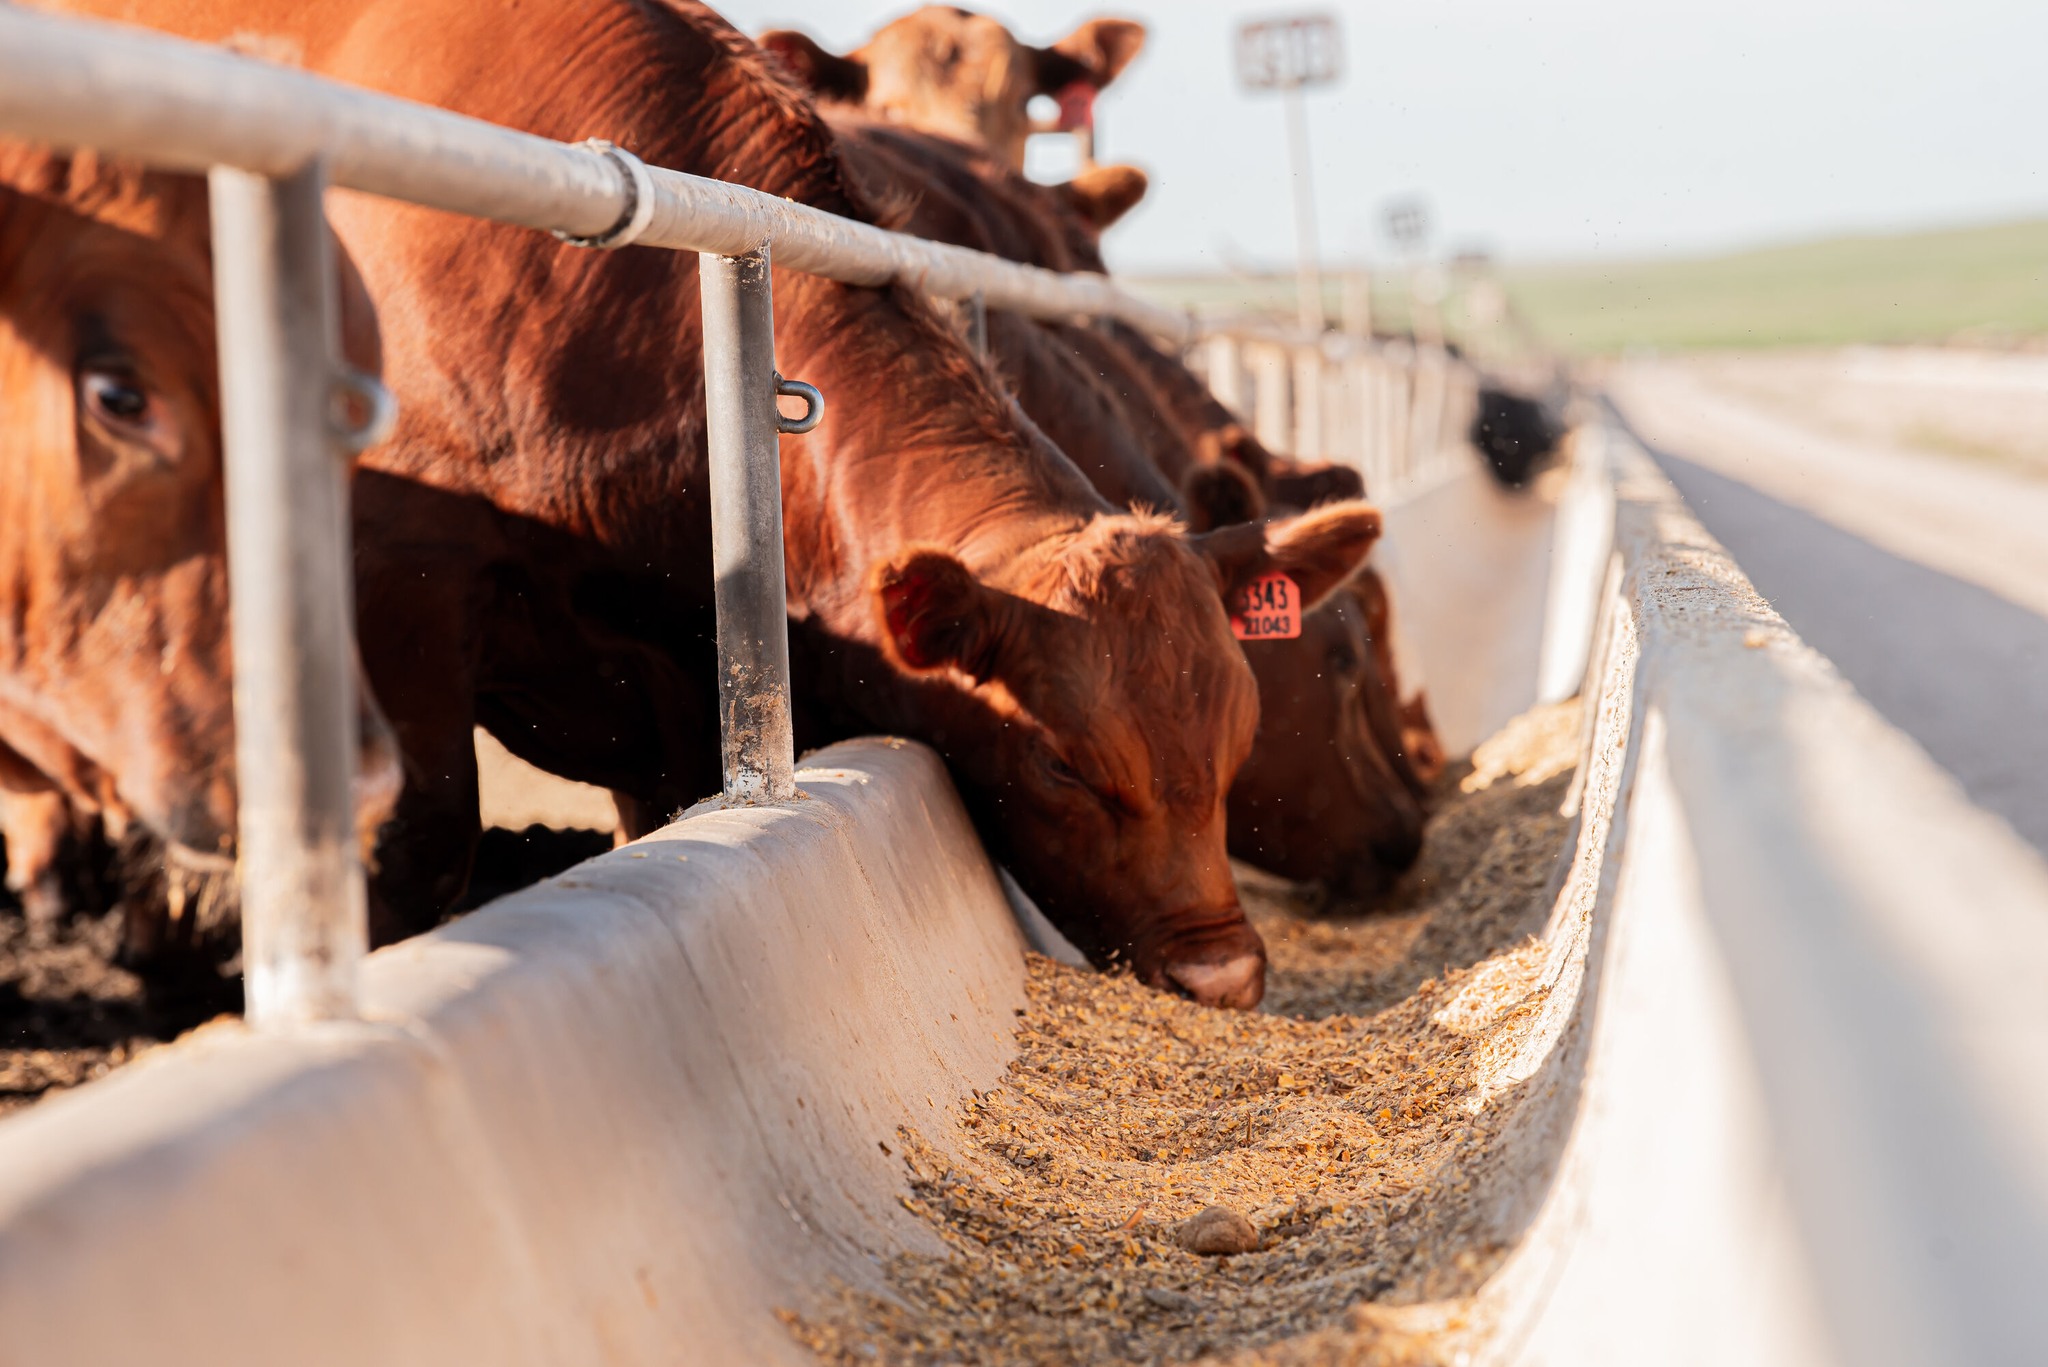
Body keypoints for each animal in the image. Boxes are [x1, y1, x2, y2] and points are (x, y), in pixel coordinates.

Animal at [20, 0, 1387, 1007]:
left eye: (1233, 728)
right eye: (1059, 760)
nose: (1225, 971)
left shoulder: (676, 679)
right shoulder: (399, 581)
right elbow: (416, 843)